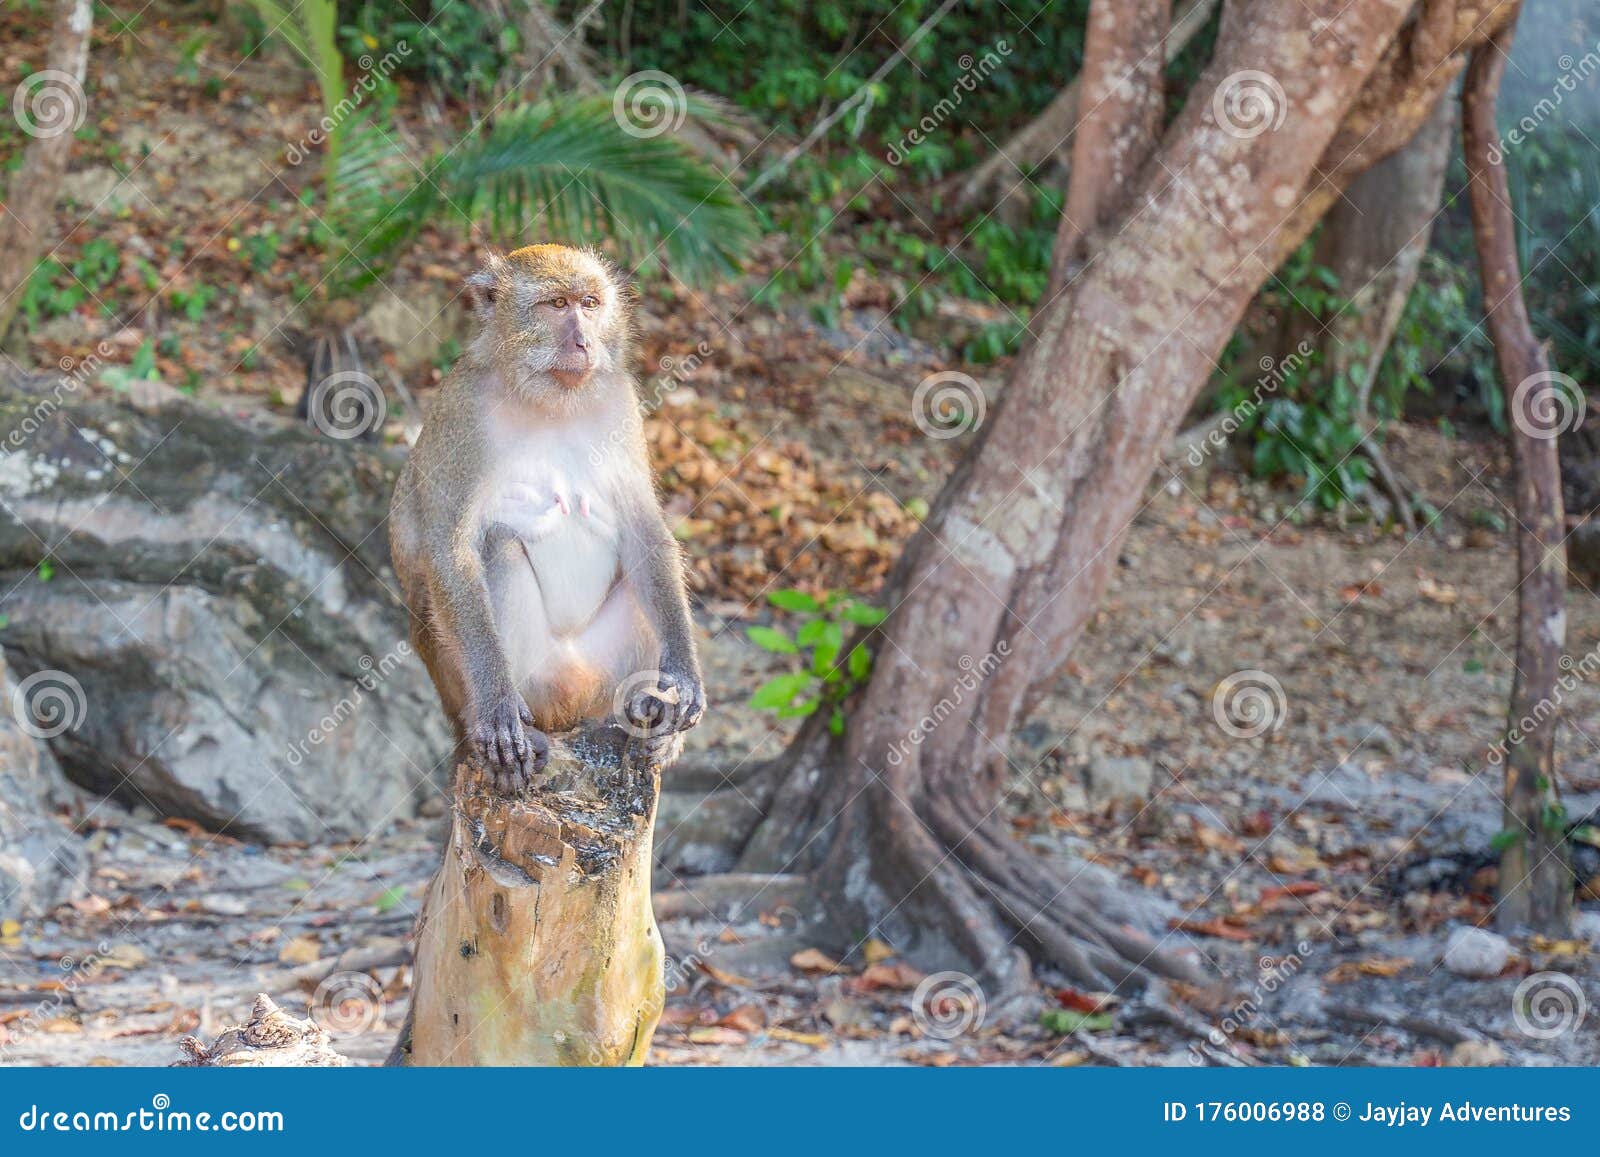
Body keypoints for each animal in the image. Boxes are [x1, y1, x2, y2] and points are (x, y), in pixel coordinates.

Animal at [388, 244, 705, 790]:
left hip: (602, 677)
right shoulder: (462, 414)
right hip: (515, 682)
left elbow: (644, 535)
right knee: (497, 548)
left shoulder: (620, 403)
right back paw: (509, 730)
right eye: (556, 305)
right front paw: (496, 711)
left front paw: (683, 679)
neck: (549, 399)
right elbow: (452, 551)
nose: (583, 341)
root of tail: (567, 710)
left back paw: (650, 726)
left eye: (590, 303)